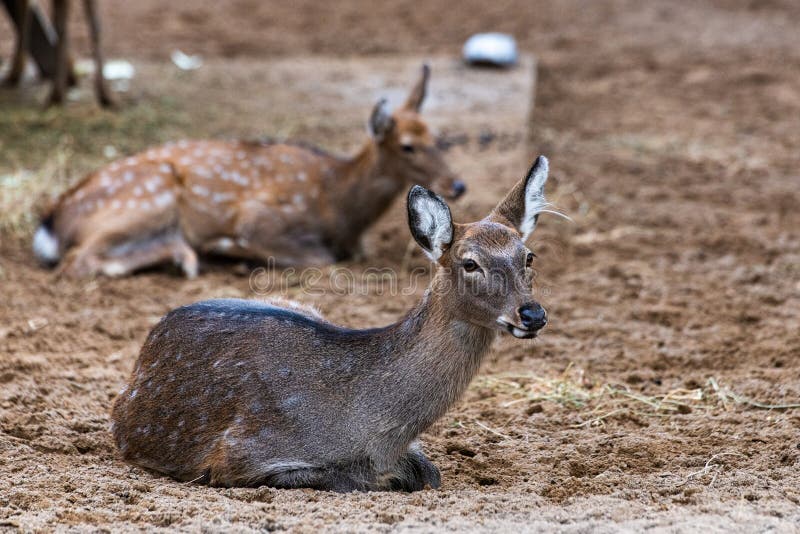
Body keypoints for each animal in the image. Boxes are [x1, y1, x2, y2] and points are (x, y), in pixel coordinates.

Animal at [32, 64, 465, 278]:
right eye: (407, 145)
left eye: (439, 138)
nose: (458, 184)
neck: (337, 205)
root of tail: (54, 218)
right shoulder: (259, 217)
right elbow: (320, 257)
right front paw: (228, 247)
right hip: (148, 198)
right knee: (77, 262)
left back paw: (185, 257)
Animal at [110, 156, 553, 492]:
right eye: (470, 263)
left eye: (528, 256)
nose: (532, 314)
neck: (375, 433)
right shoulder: (241, 454)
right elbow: (351, 480)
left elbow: (429, 473)